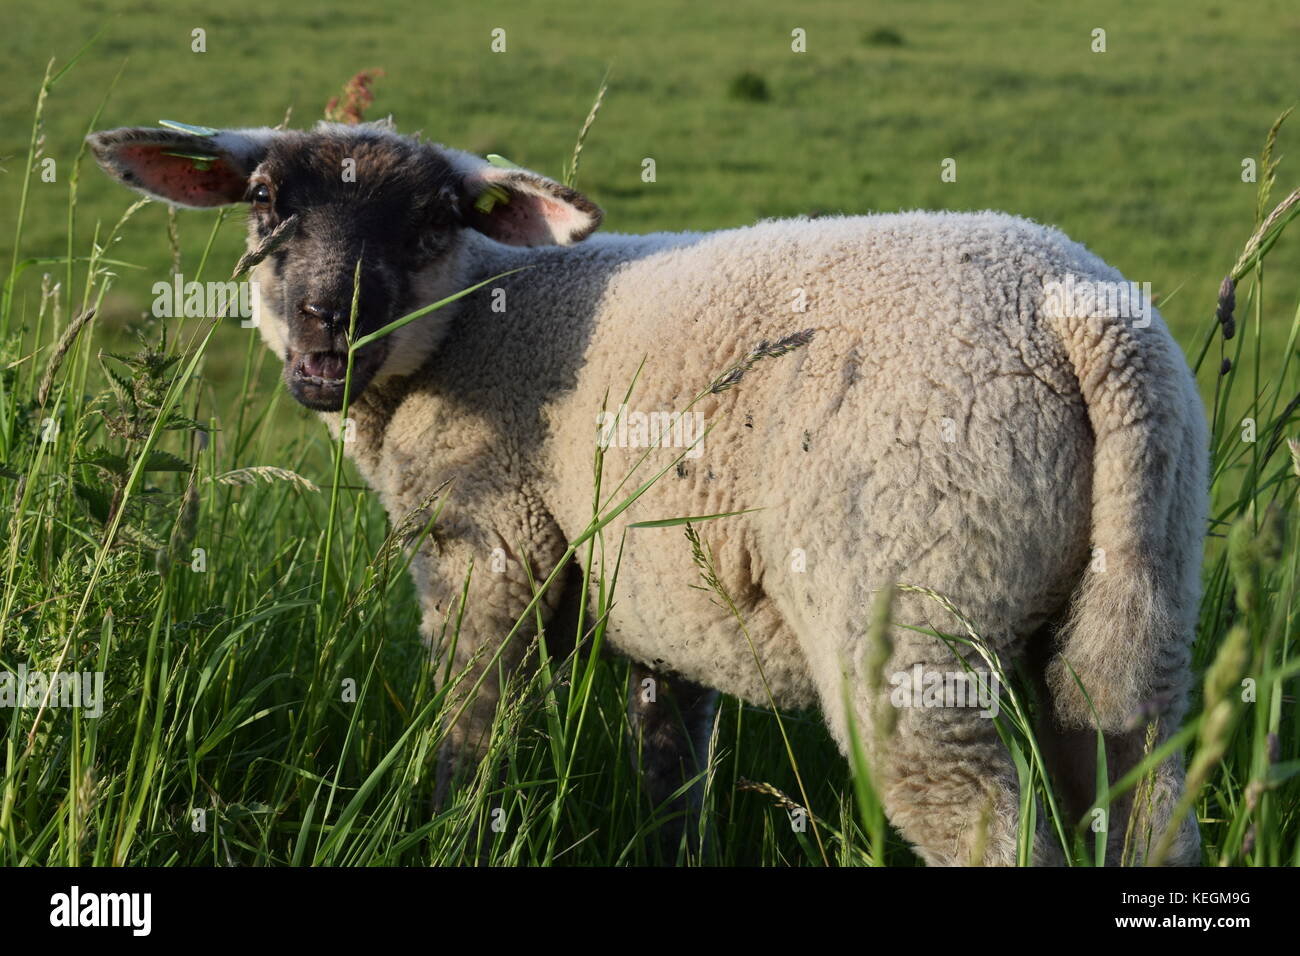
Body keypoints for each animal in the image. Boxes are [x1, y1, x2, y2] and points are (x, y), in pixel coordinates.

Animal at [87, 119, 1207, 865]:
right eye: (264, 199)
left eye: (436, 217)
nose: (333, 318)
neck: (469, 323)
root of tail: (1075, 311)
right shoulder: (668, 611)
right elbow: (672, 784)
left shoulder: (488, 557)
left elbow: (470, 748)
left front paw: (452, 835)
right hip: (1140, 611)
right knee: (1149, 793)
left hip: (909, 615)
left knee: (982, 817)